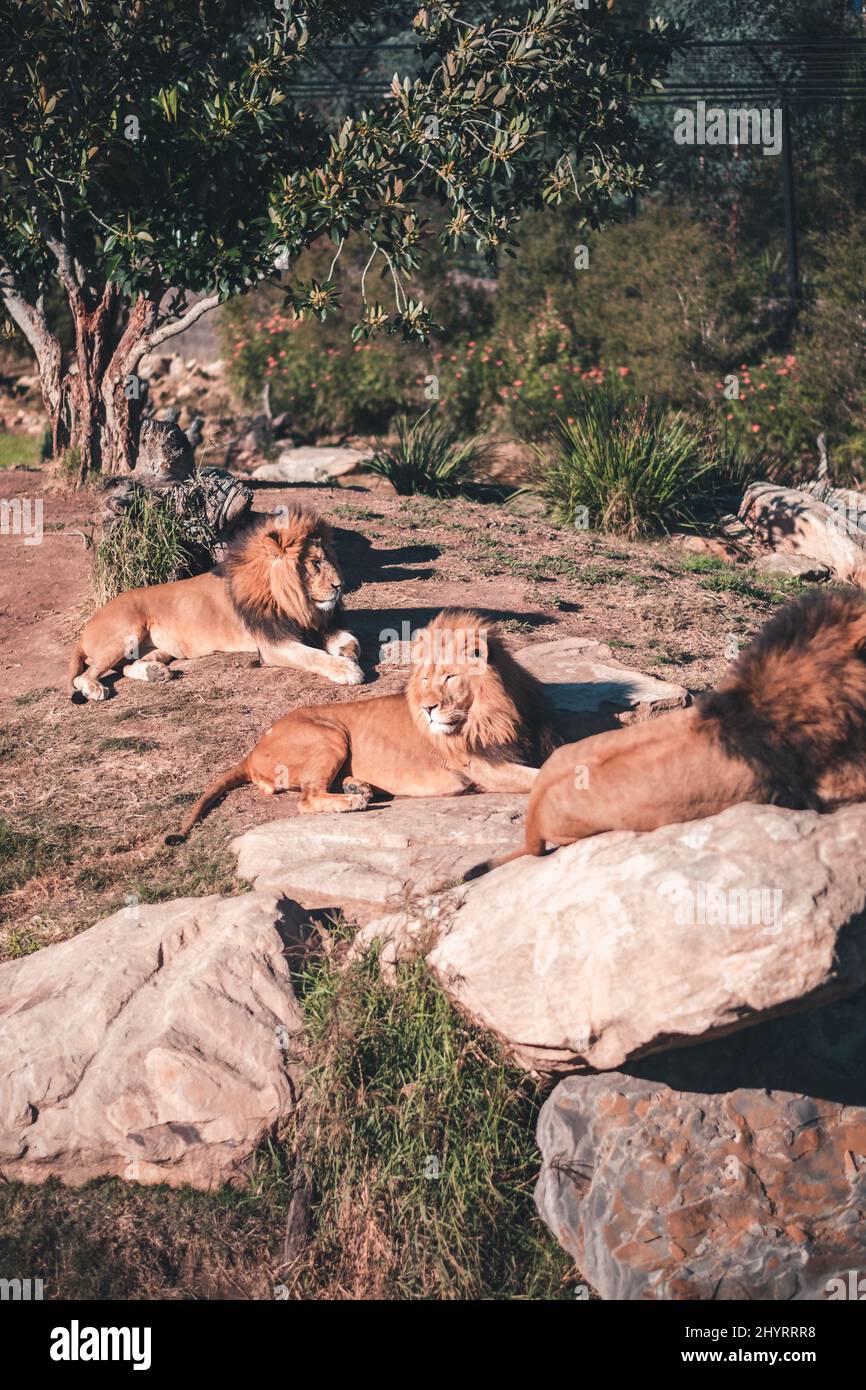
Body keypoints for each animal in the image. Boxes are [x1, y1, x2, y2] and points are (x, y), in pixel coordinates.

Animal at [68, 505, 363, 700]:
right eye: (315, 563)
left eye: (330, 559)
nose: (340, 586)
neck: (296, 602)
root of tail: (84, 629)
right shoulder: (273, 644)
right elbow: (312, 655)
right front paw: (345, 668)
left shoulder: (316, 623)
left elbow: (348, 640)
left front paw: (346, 652)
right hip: (127, 632)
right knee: (83, 676)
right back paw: (95, 688)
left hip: (159, 649)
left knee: (129, 666)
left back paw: (156, 674)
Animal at [166, 608, 557, 843]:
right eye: (425, 679)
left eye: (449, 677)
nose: (428, 709)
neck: (493, 712)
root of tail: (252, 750)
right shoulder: (484, 769)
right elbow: (538, 776)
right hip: (330, 734)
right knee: (307, 798)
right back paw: (353, 801)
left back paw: (360, 788)